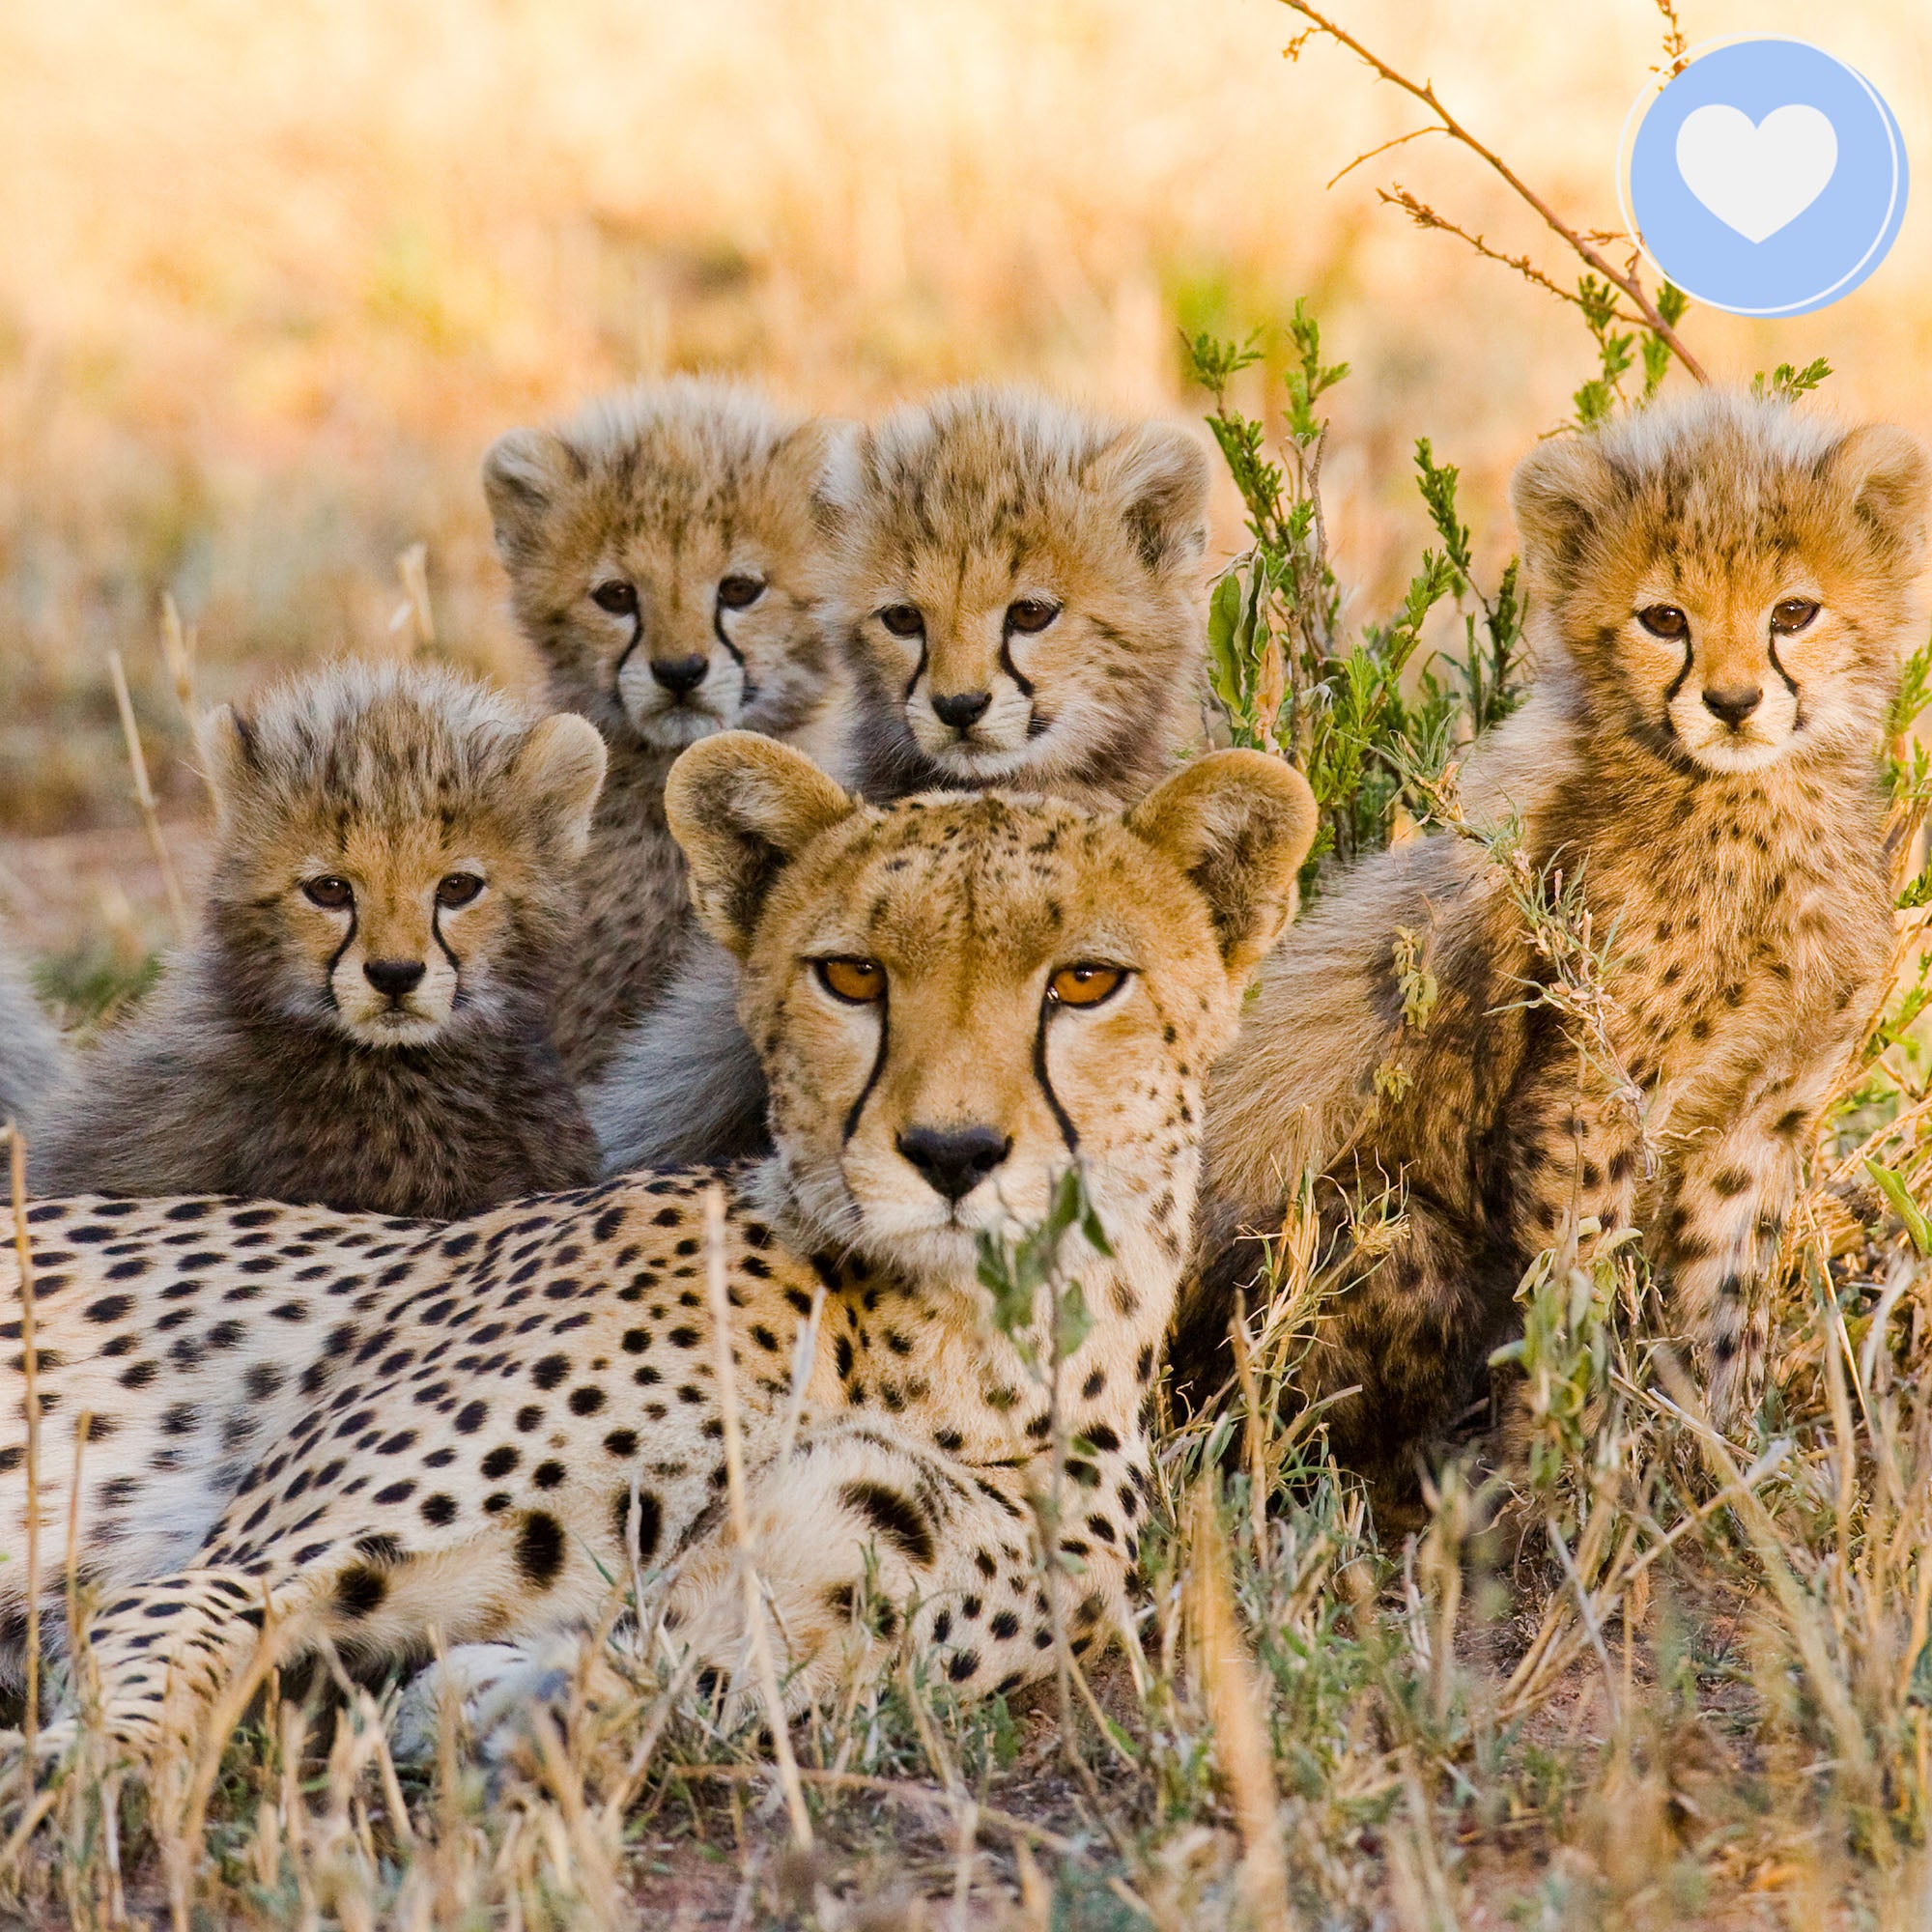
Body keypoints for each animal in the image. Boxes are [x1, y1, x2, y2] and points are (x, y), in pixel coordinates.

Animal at [0, 730, 1315, 1766]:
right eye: (851, 973)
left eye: (1084, 980)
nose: (951, 1153)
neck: (941, 1336)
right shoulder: (222, 1566)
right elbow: (166, 1668)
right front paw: (67, 1779)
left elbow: (664, 1675)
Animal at [1173, 392, 1929, 1499]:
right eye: (1665, 619)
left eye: (1793, 613)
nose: (1733, 704)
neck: (1746, 806)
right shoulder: (1585, 1096)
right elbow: (1571, 1285)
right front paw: (1559, 1469)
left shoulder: (1759, 1115)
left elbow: (1725, 1294)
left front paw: (1719, 1456)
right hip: (1381, 1233)